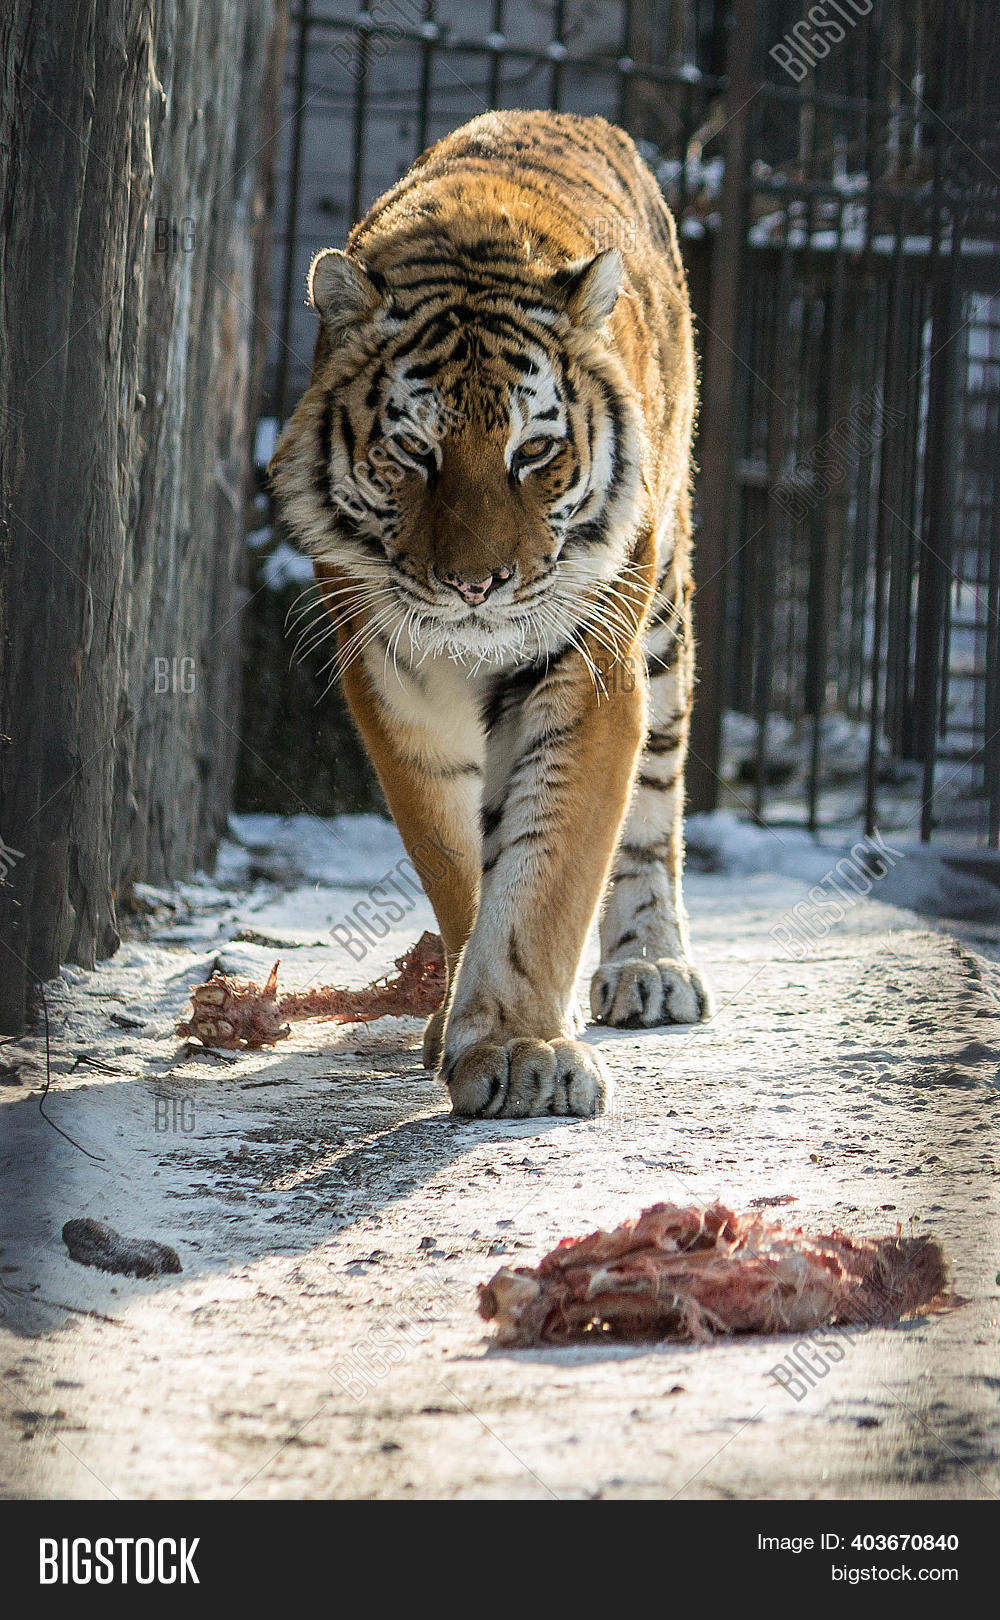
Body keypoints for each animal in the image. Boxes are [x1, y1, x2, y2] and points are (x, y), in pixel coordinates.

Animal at [269, 109, 712, 1120]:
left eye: (533, 452)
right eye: (413, 453)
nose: (478, 584)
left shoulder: (588, 668)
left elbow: (545, 868)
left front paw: (520, 1048)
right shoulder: (390, 679)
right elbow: (457, 857)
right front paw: (472, 1029)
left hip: (664, 614)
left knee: (655, 805)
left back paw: (651, 969)